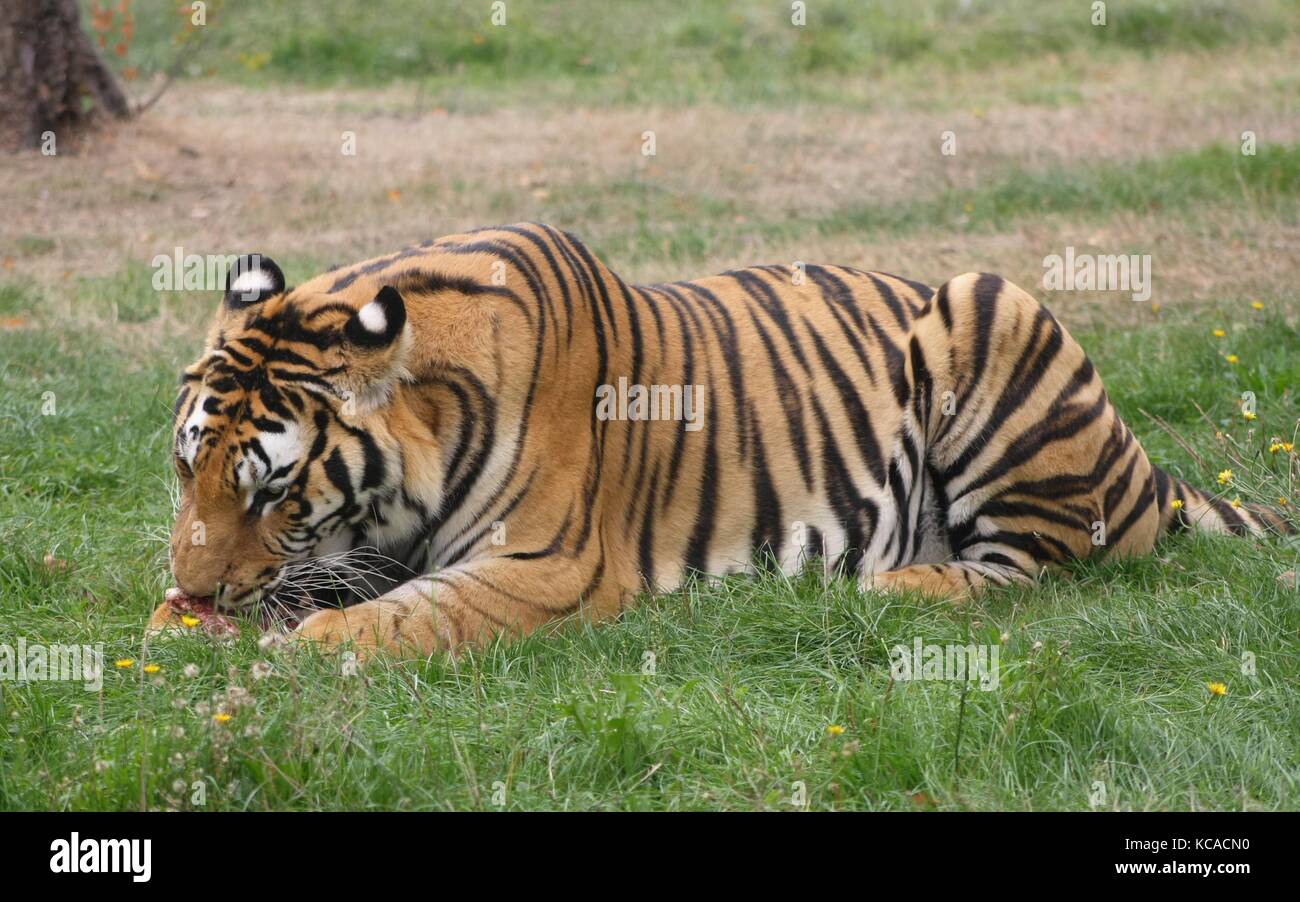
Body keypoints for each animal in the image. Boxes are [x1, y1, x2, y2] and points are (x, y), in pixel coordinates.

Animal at [149, 222, 1291, 657]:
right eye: (187, 467)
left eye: (273, 491)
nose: (203, 592)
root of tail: (1144, 465)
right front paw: (175, 622)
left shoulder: (544, 567)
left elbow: (395, 620)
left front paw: (290, 648)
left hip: (986, 304)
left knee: (1036, 571)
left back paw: (893, 584)